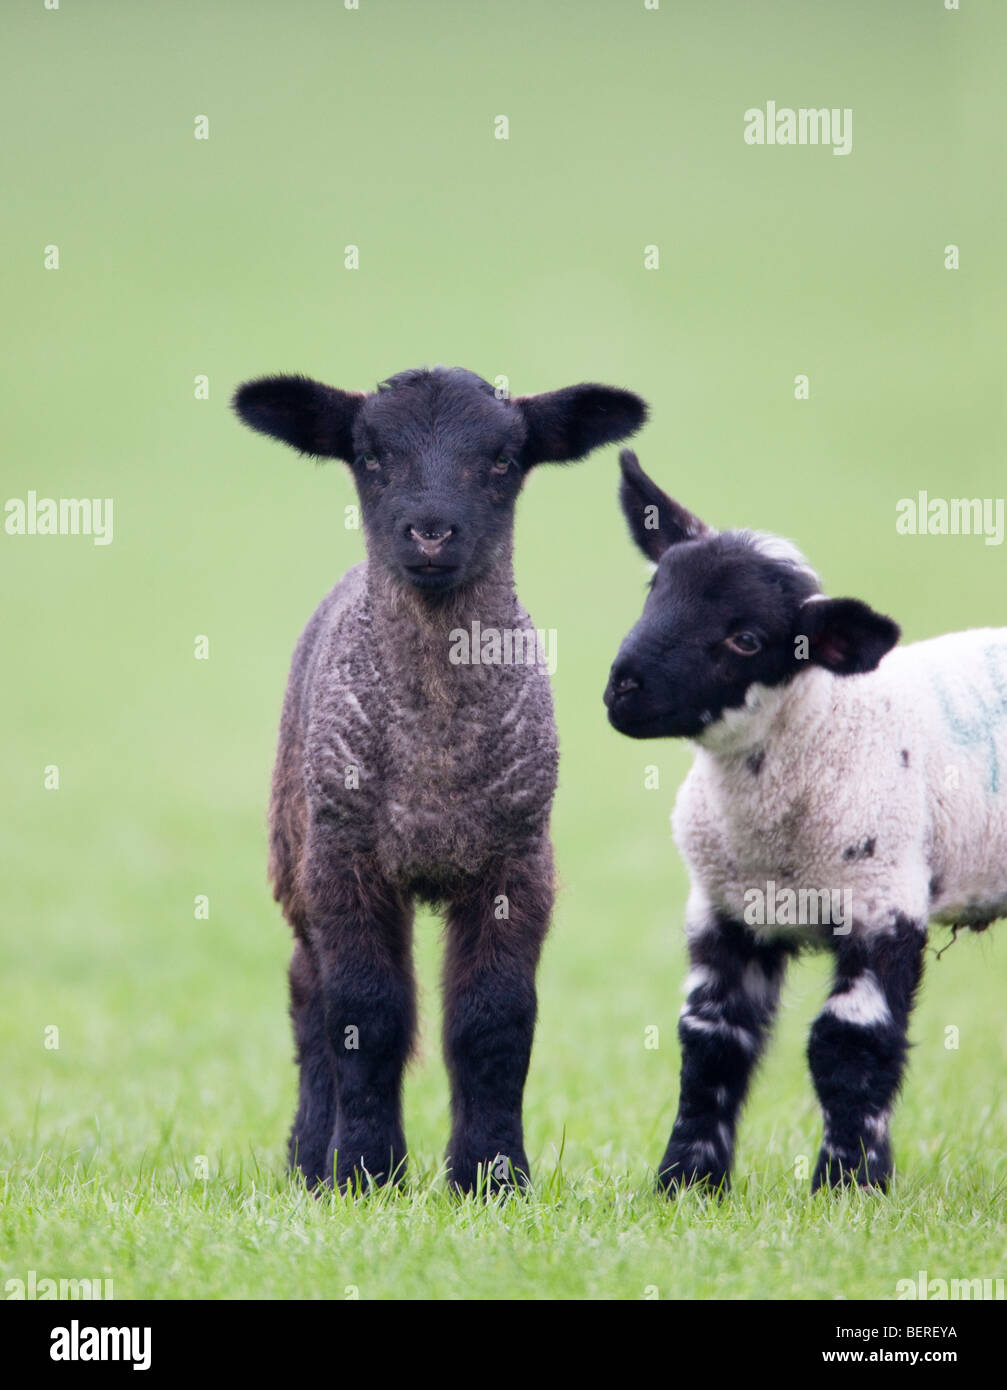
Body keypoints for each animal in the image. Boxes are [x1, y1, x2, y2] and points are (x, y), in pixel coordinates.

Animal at [233, 366, 647, 1192]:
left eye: (501, 460)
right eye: (369, 456)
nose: (429, 532)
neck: (435, 749)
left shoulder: (517, 864)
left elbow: (493, 1020)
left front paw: (492, 1177)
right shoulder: (345, 862)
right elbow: (365, 1014)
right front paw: (363, 1172)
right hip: (293, 855)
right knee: (308, 996)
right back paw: (309, 1158)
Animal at [605, 448, 1007, 1193]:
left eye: (746, 638)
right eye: (654, 587)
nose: (623, 688)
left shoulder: (883, 897)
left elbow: (848, 1043)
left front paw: (850, 1184)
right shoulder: (726, 910)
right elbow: (711, 1042)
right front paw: (686, 1182)